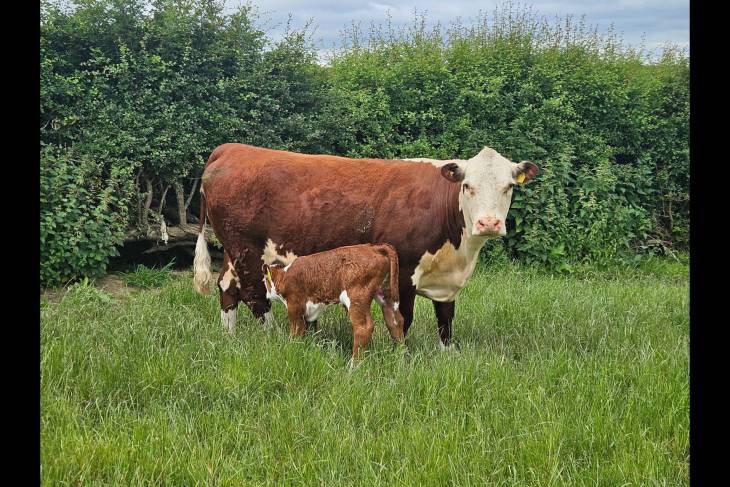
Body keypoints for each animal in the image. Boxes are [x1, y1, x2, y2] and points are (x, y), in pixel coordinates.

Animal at [192, 143, 538, 347]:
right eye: (467, 186)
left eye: (509, 186)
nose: (489, 223)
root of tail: (232, 149)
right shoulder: (404, 271)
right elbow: (403, 318)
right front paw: (400, 353)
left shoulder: (447, 279)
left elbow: (445, 317)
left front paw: (446, 354)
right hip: (247, 251)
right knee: (254, 296)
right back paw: (274, 337)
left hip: (233, 250)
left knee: (227, 287)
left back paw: (228, 336)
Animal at [262, 243, 405, 365]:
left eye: (265, 281)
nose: (266, 295)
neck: (284, 276)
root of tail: (373, 247)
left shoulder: (294, 305)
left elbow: (296, 330)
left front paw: (292, 348)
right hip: (386, 294)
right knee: (395, 321)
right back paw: (399, 357)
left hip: (357, 296)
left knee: (363, 327)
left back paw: (353, 366)